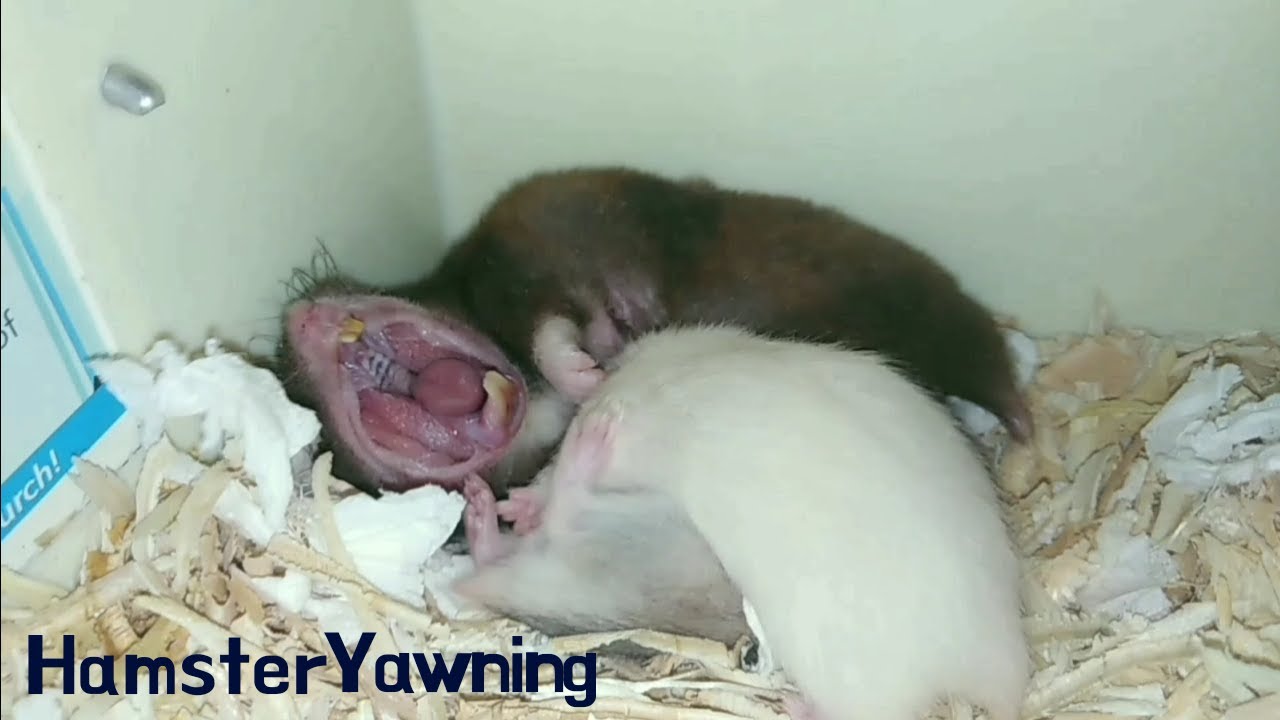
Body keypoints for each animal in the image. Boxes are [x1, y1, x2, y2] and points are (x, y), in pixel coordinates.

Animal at [277, 165, 1031, 497]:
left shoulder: (523, 254)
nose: (293, 319)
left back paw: (1026, 435)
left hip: (915, 293)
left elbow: (553, 324)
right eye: (302, 401)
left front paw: (593, 364)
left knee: (989, 361)